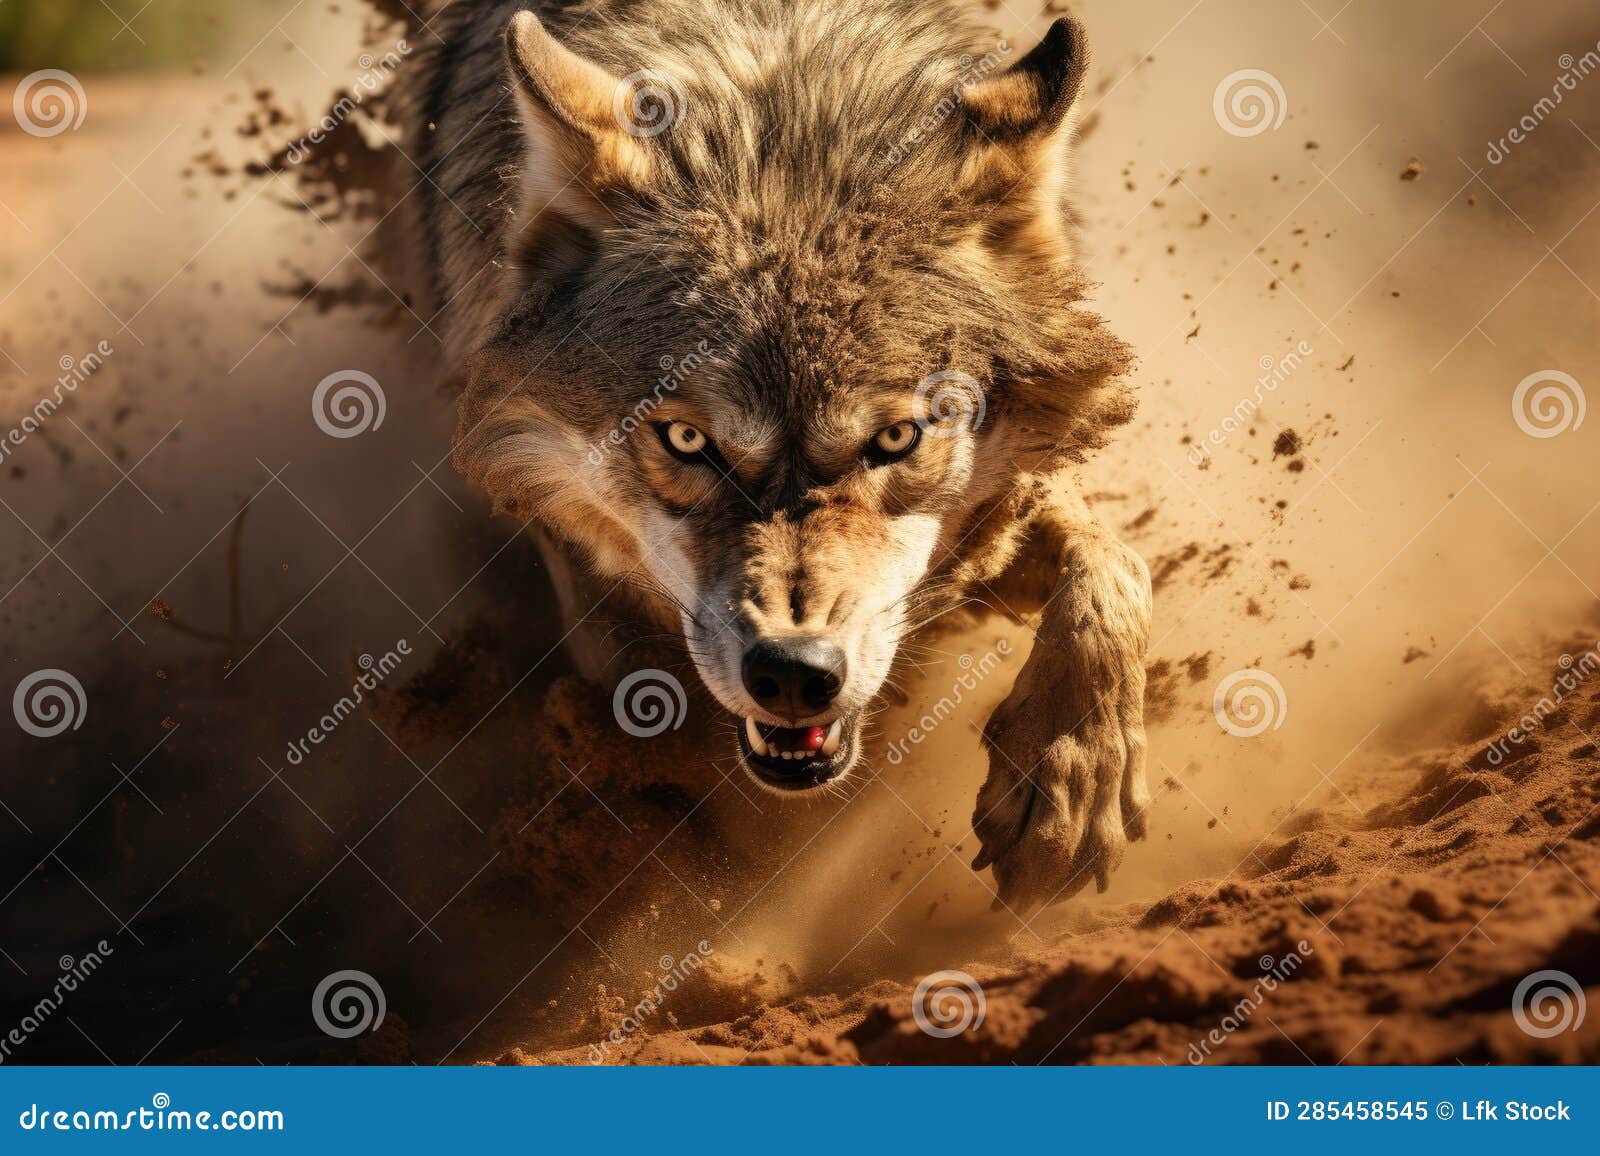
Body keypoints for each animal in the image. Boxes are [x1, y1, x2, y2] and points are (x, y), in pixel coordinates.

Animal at [404, 0, 1152, 913]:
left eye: (895, 438)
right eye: (687, 440)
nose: (794, 674)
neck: (778, 68)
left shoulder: (1011, 508)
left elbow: (1114, 565)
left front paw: (1073, 774)